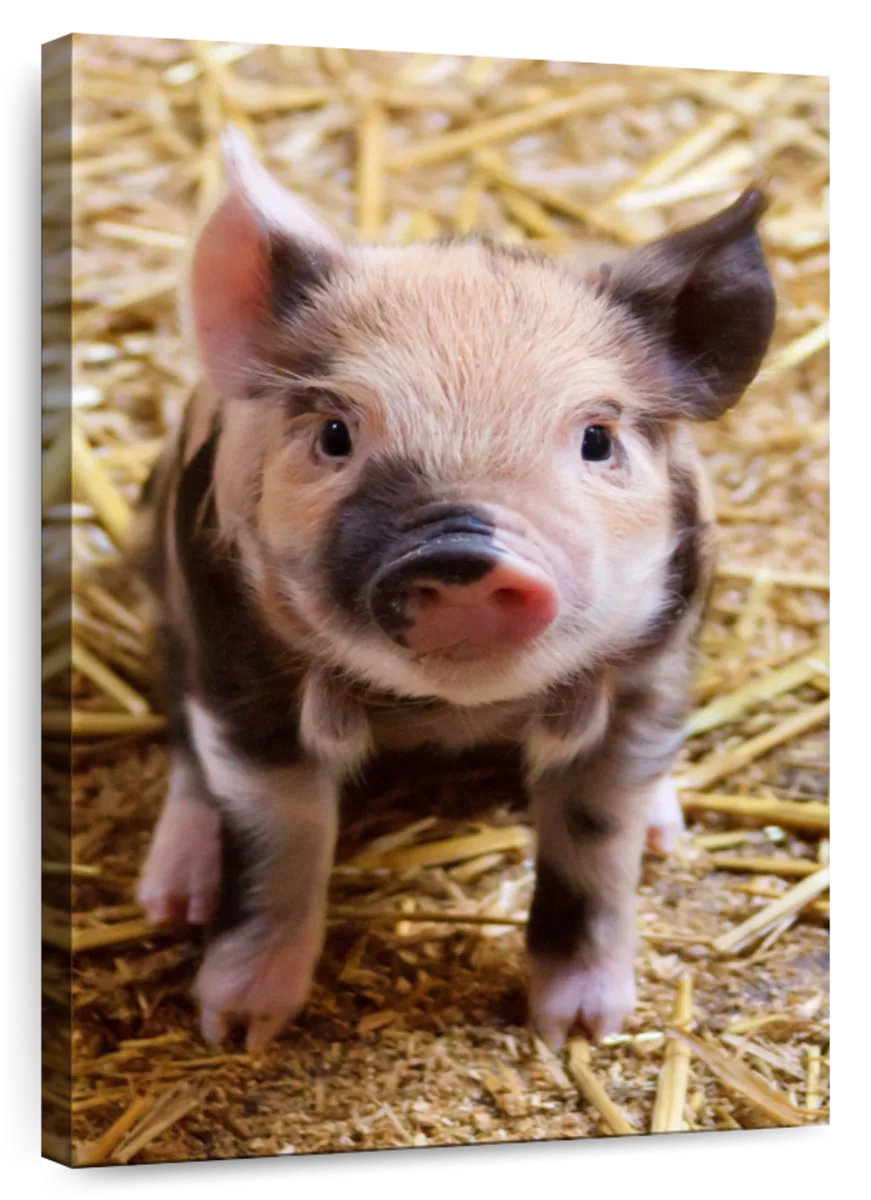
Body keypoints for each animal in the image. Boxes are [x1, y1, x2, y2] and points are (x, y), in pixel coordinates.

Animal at [136, 129, 775, 1052]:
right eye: (335, 433)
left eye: (596, 439)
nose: (464, 553)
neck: (452, 714)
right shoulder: (240, 668)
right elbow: (278, 839)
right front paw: (238, 1030)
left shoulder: (651, 672)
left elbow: (595, 842)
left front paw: (579, 1032)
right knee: (187, 750)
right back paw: (171, 901)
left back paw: (665, 834)